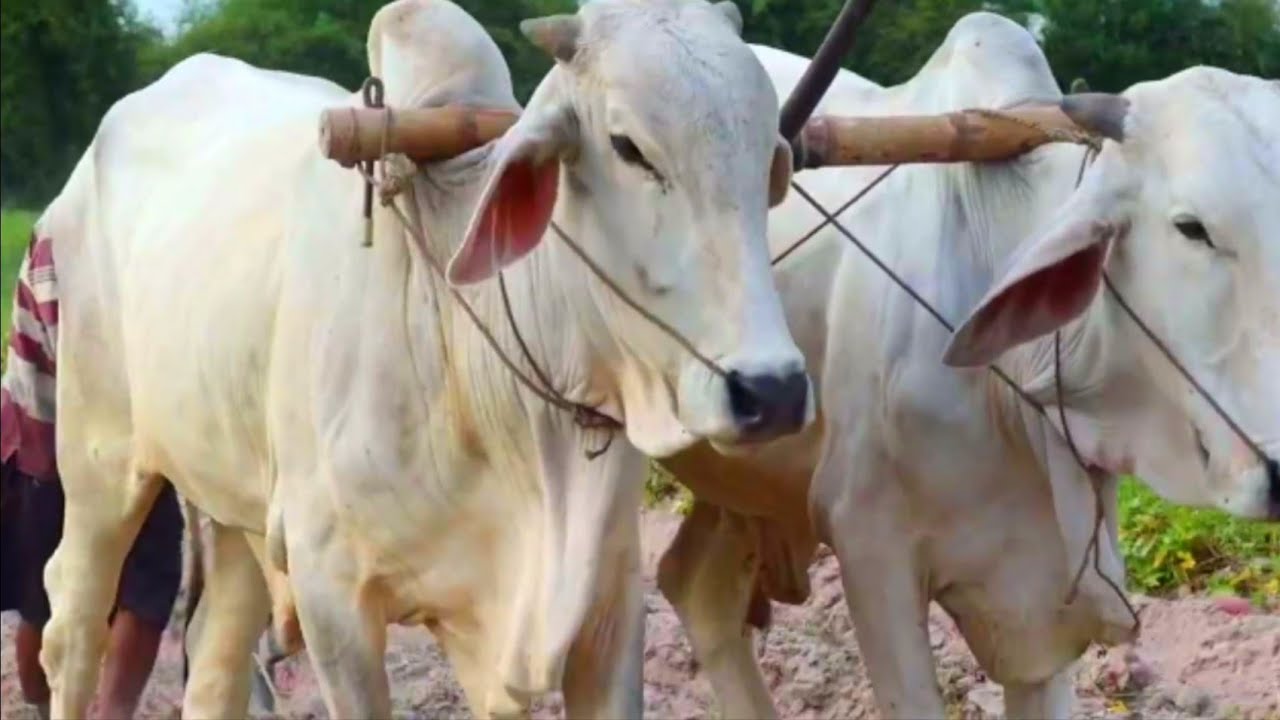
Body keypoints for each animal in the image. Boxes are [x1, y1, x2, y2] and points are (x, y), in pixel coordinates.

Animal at [34, 0, 814, 717]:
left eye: (768, 157)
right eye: (628, 147)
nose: (771, 390)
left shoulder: (606, 602)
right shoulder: (331, 594)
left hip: (235, 503)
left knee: (215, 662)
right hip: (98, 457)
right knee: (71, 625)